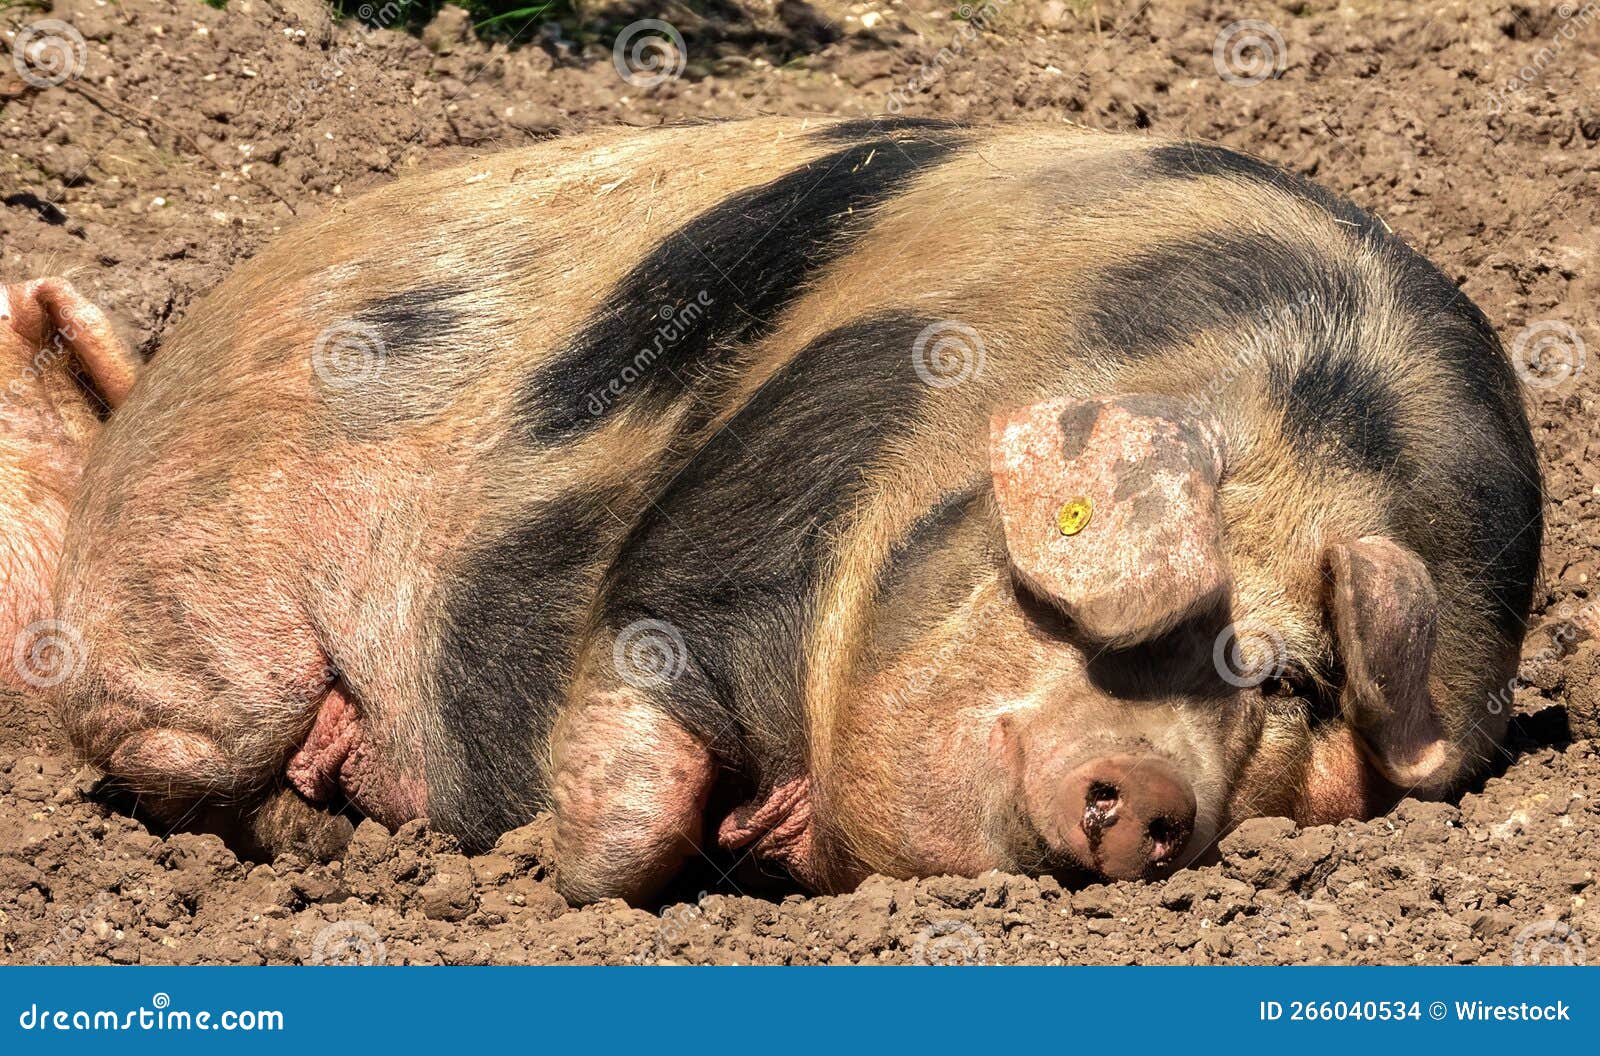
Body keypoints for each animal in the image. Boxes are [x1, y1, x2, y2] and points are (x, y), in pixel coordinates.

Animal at [2, 117, 1540, 904]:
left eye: (1288, 684)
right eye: (1081, 606)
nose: (1150, 790)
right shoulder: (742, 513)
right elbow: (636, 753)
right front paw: (555, 872)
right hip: (200, 613)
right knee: (196, 752)